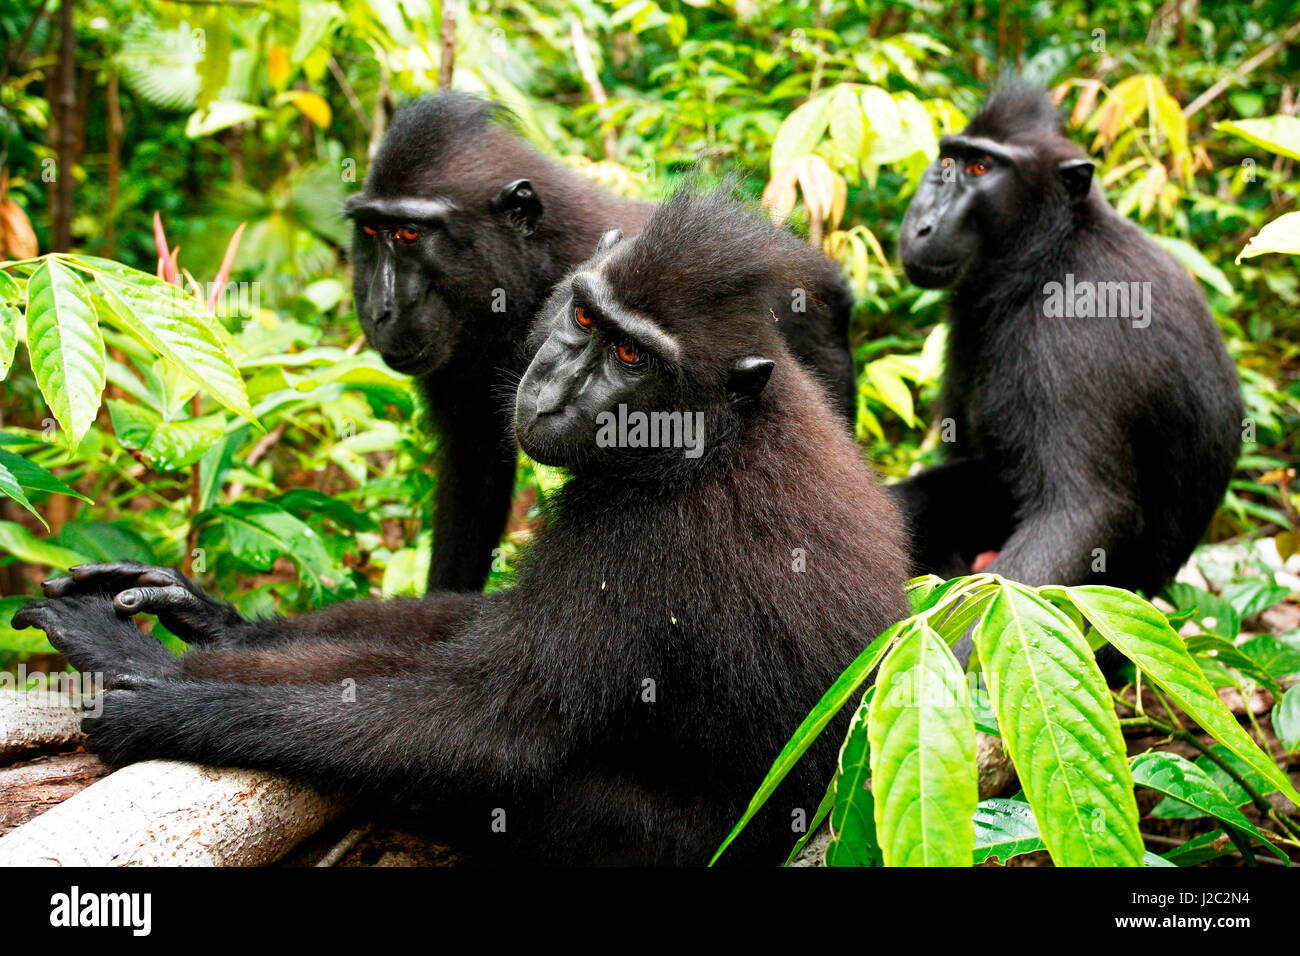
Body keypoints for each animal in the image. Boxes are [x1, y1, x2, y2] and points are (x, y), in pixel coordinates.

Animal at [17, 189, 910, 866]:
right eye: (586, 320)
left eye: (631, 359)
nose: (553, 385)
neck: (714, 436)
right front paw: (207, 622)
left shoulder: (642, 532)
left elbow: (489, 732)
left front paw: (156, 688)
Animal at [891, 85, 1242, 664]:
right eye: (946, 163)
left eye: (981, 167)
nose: (920, 225)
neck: (1047, 253)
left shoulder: (1071, 332)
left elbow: (1082, 512)